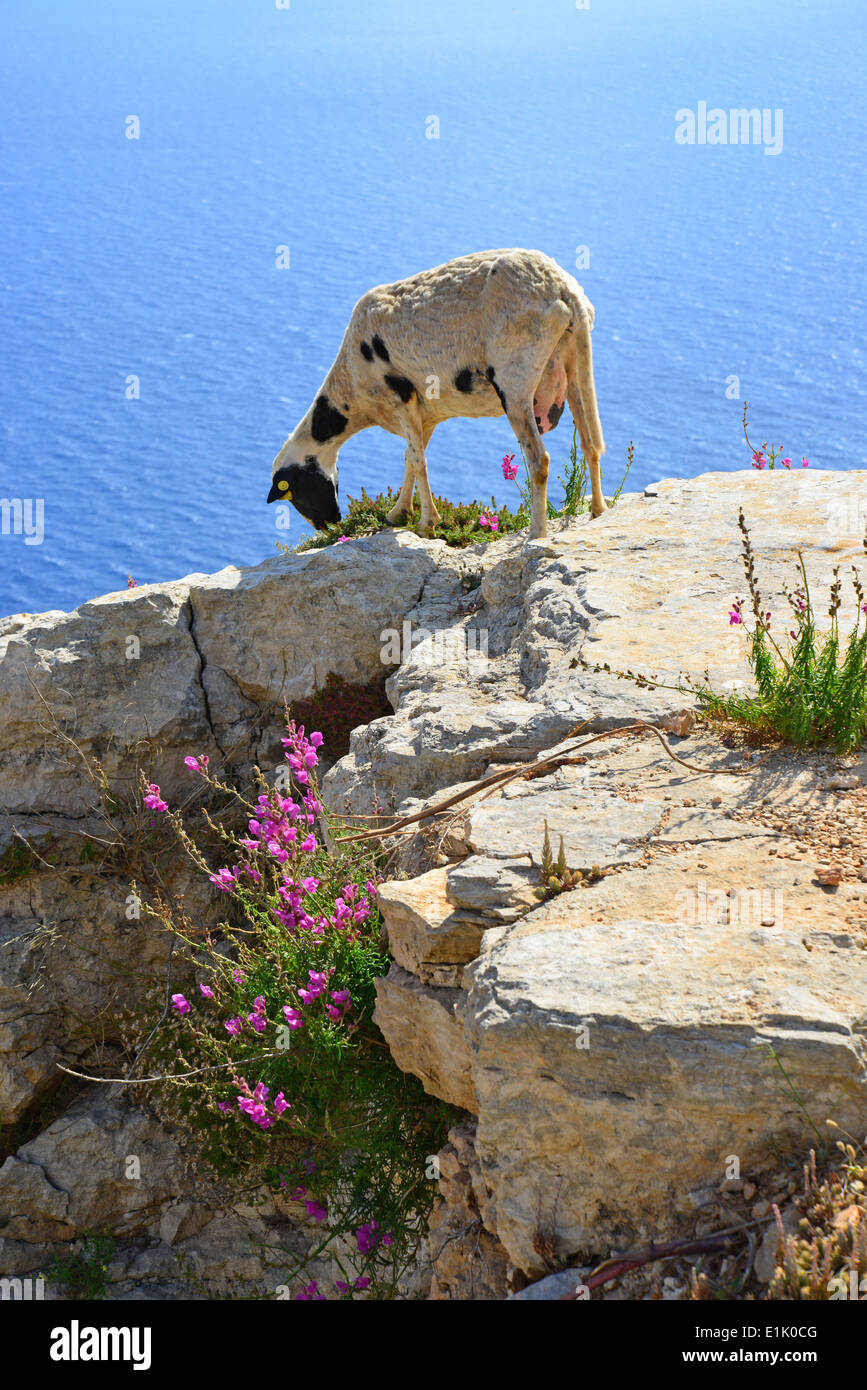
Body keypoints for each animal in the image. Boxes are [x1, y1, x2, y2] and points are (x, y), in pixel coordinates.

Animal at [267, 248, 605, 540]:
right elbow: (410, 457)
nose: (331, 525)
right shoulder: (425, 412)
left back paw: (537, 534)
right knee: (590, 443)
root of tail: (563, 290)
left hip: (515, 379)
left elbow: (418, 461)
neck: (351, 393)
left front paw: (426, 523)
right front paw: (399, 514)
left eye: (291, 490)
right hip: (571, 363)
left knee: (539, 461)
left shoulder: (400, 396)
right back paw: (598, 511)